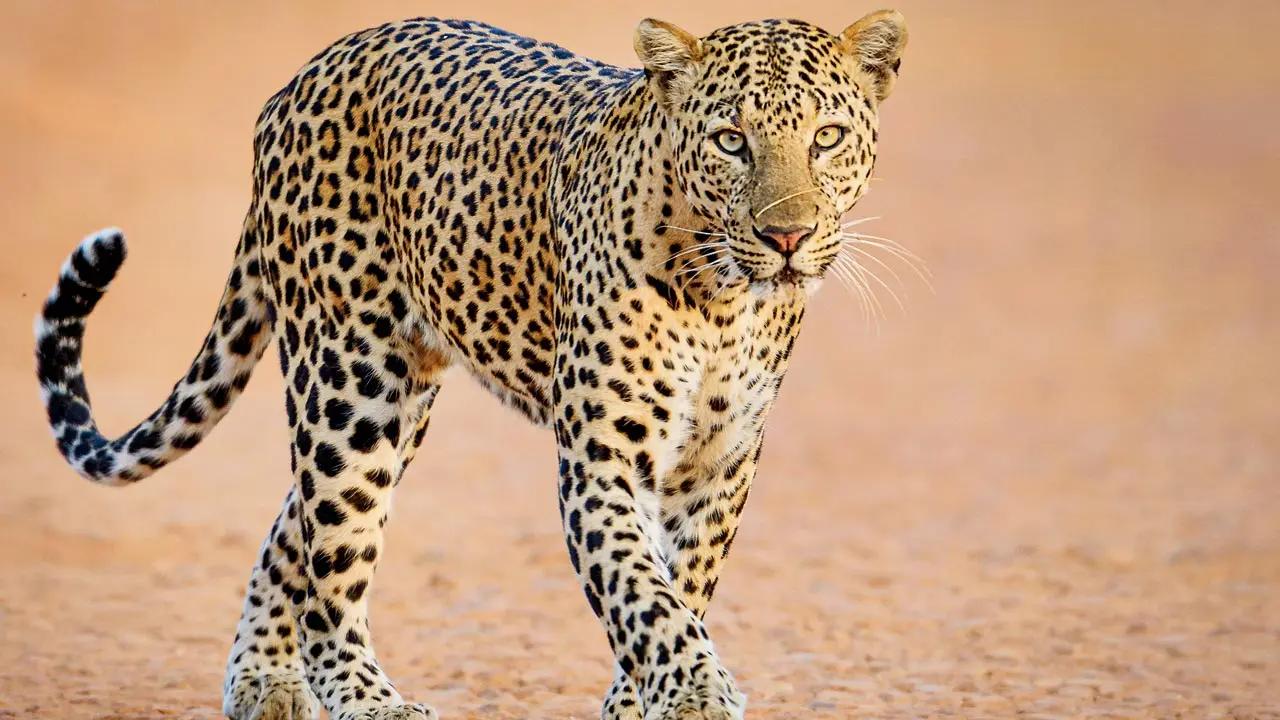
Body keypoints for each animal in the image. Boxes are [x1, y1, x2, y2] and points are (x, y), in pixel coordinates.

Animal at [34, 10, 907, 720]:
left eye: (826, 137)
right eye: (731, 140)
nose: (787, 236)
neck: (726, 303)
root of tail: (300, 79)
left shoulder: (719, 463)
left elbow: (681, 588)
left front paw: (642, 701)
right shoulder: (602, 458)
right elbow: (641, 591)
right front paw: (693, 691)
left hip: (395, 401)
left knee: (295, 528)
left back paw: (264, 681)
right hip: (351, 385)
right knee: (332, 560)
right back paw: (369, 700)